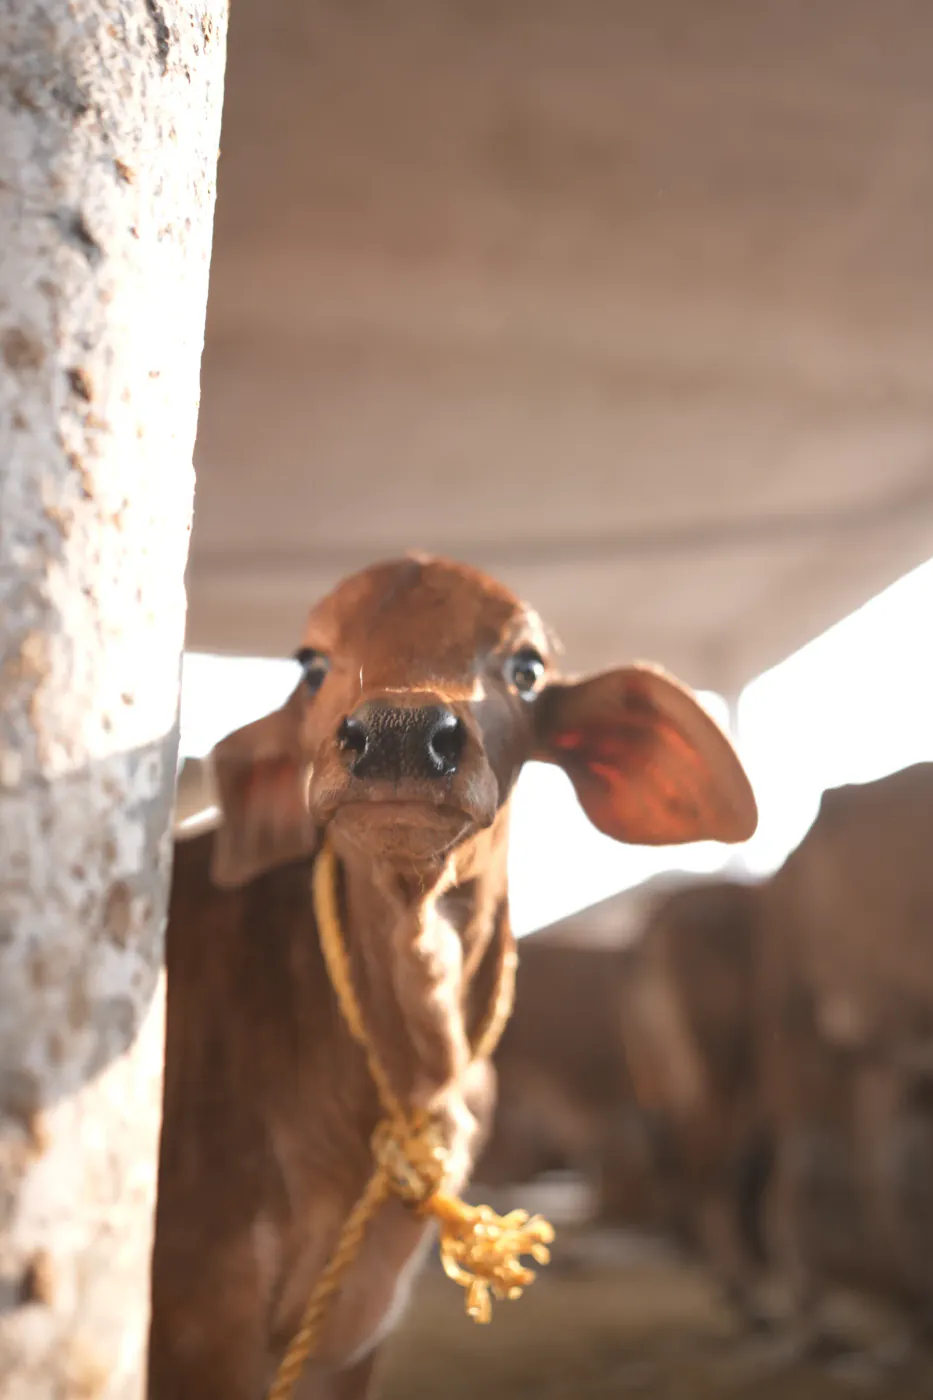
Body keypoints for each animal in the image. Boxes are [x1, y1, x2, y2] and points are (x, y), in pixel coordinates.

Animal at [148, 554, 757, 1399]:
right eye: (310, 664)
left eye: (526, 669)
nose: (398, 735)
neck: (414, 1059)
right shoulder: (201, 1318)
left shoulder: (349, 1340)